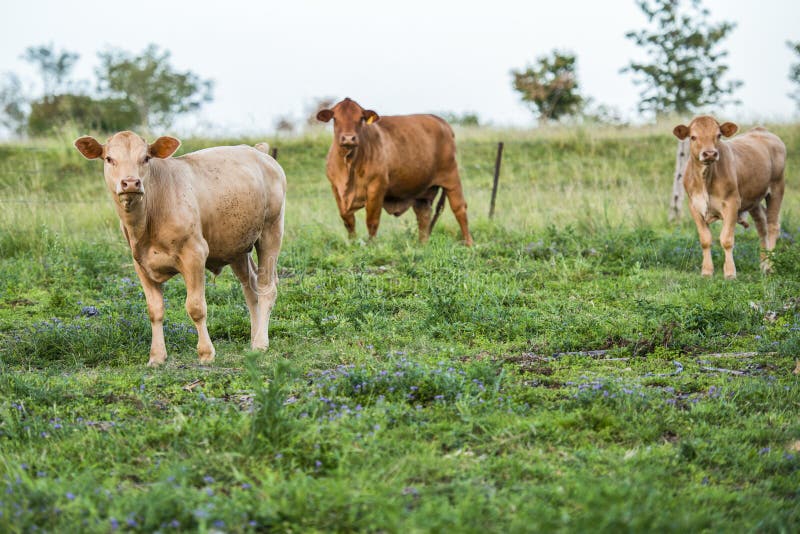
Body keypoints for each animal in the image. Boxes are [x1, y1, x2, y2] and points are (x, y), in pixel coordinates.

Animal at [74, 132, 286, 366]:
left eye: (146, 158)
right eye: (109, 158)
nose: (130, 183)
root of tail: (258, 151)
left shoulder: (194, 254)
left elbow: (196, 307)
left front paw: (206, 353)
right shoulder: (140, 263)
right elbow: (155, 310)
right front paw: (156, 356)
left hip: (271, 229)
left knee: (266, 287)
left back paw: (260, 343)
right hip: (236, 245)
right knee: (250, 288)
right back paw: (254, 337)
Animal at [316, 97, 473, 245]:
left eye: (360, 118)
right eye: (335, 118)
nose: (349, 138)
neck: (349, 165)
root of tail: (439, 120)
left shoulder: (376, 187)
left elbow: (372, 220)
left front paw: (371, 245)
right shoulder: (336, 189)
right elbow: (348, 220)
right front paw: (353, 243)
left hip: (451, 177)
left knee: (459, 209)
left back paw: (469, 244)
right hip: (423, 190)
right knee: (423, 215)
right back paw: (422, 245)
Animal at [672, 116, 786, 279]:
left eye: (718, 135)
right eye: (693, 137)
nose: (710, 153)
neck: (705, 180)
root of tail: (762, 130)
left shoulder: (732, 203)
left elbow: (726, 239)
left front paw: (730, 273)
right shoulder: (694, 205)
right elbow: (705, 239)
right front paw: (707, 271)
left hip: (777, 188)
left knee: (772, 226)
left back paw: (770, 267)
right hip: (753, 198)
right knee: (762, 226)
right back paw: (763, 265)